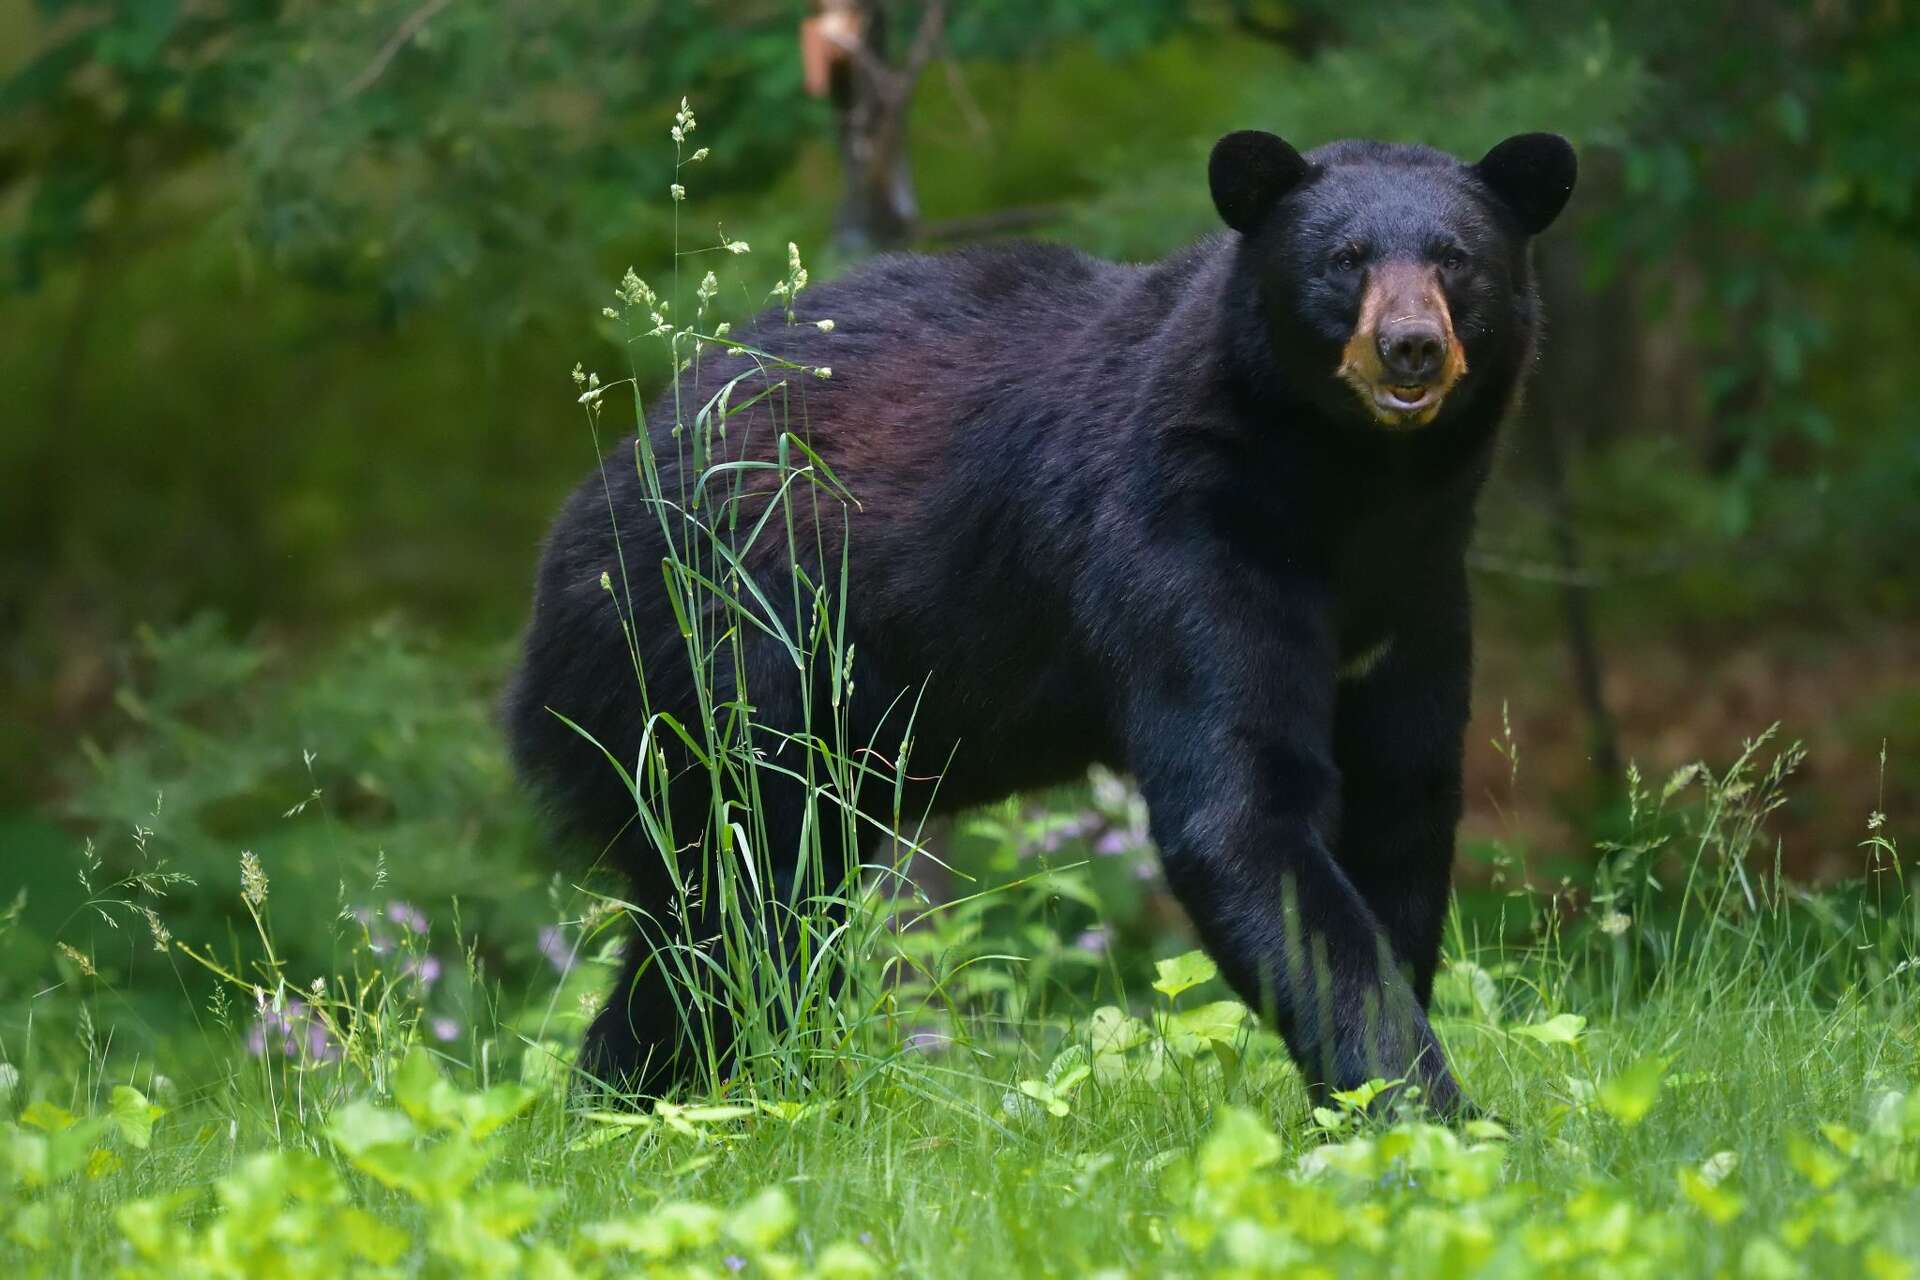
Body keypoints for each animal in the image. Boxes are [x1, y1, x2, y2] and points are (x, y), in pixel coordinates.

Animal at [504, 129, 1577, 1117]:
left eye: (1456, 259)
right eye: (1344, 258)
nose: (1411, 345)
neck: (1350, 491)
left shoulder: (1417, 590)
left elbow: (1402, 802)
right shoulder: (1182, 539)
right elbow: (1242, 808)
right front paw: (1430, 1110)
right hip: (719, 662)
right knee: (738, 901)